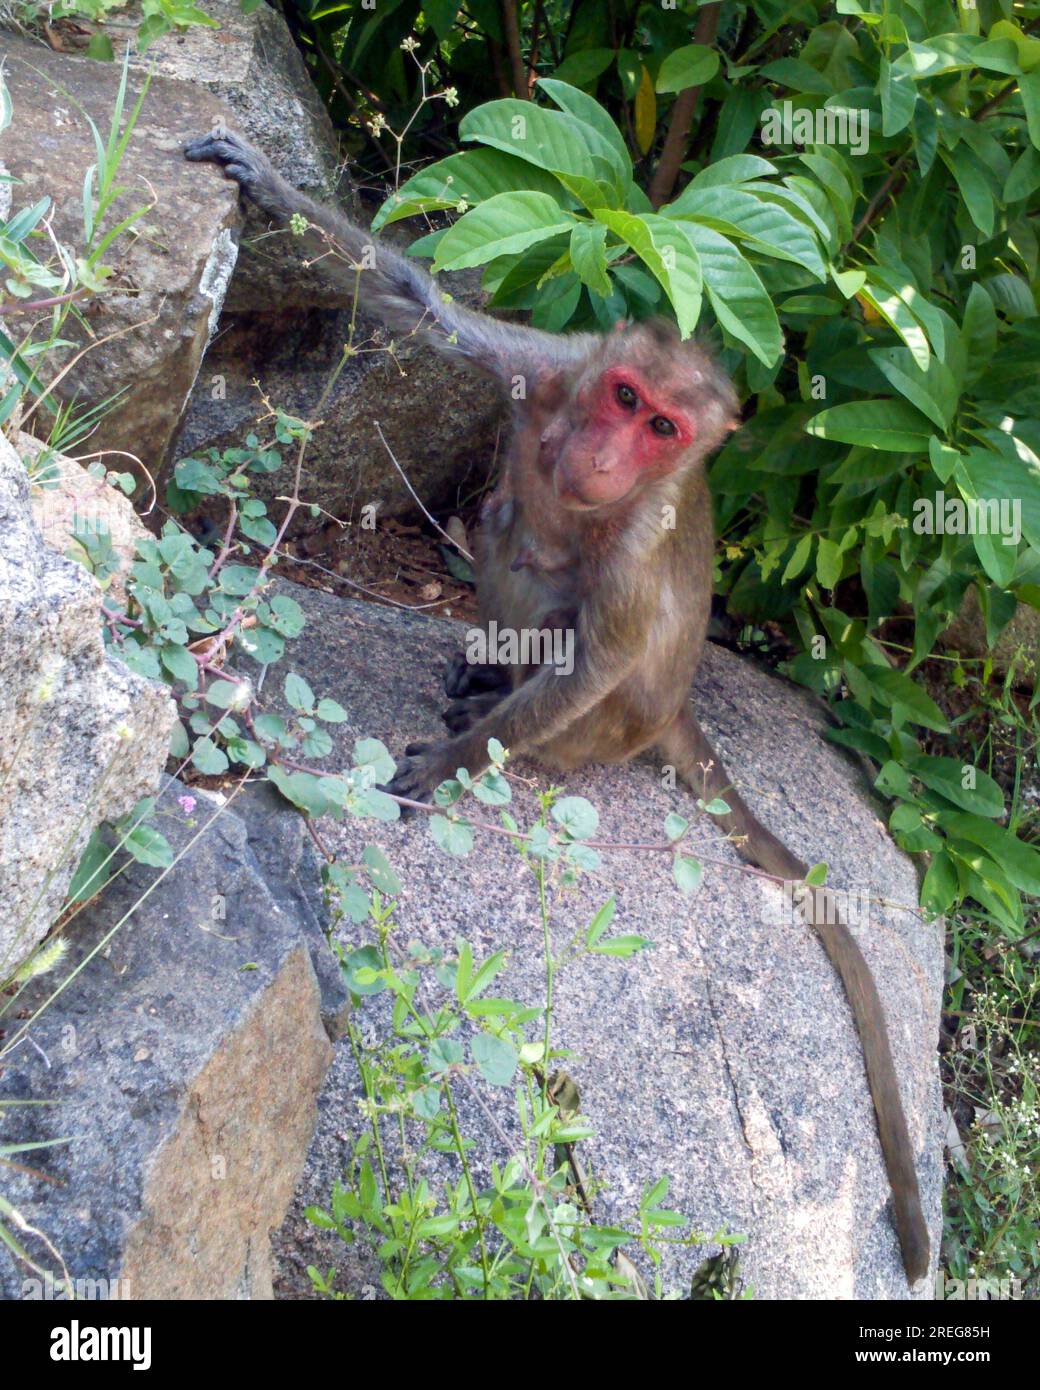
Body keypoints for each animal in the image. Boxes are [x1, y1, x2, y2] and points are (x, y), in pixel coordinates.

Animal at [185, 129, 930, 1284]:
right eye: (621, 396)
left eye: (664, 427)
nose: (609, 453)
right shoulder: (551, 369)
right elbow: (417, 304)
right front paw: (262, 184)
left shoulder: (633, 543)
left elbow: (597, 658)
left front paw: (441, 774)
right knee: (501, 518)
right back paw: (487, 671)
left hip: (615, 731)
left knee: (571, 639)